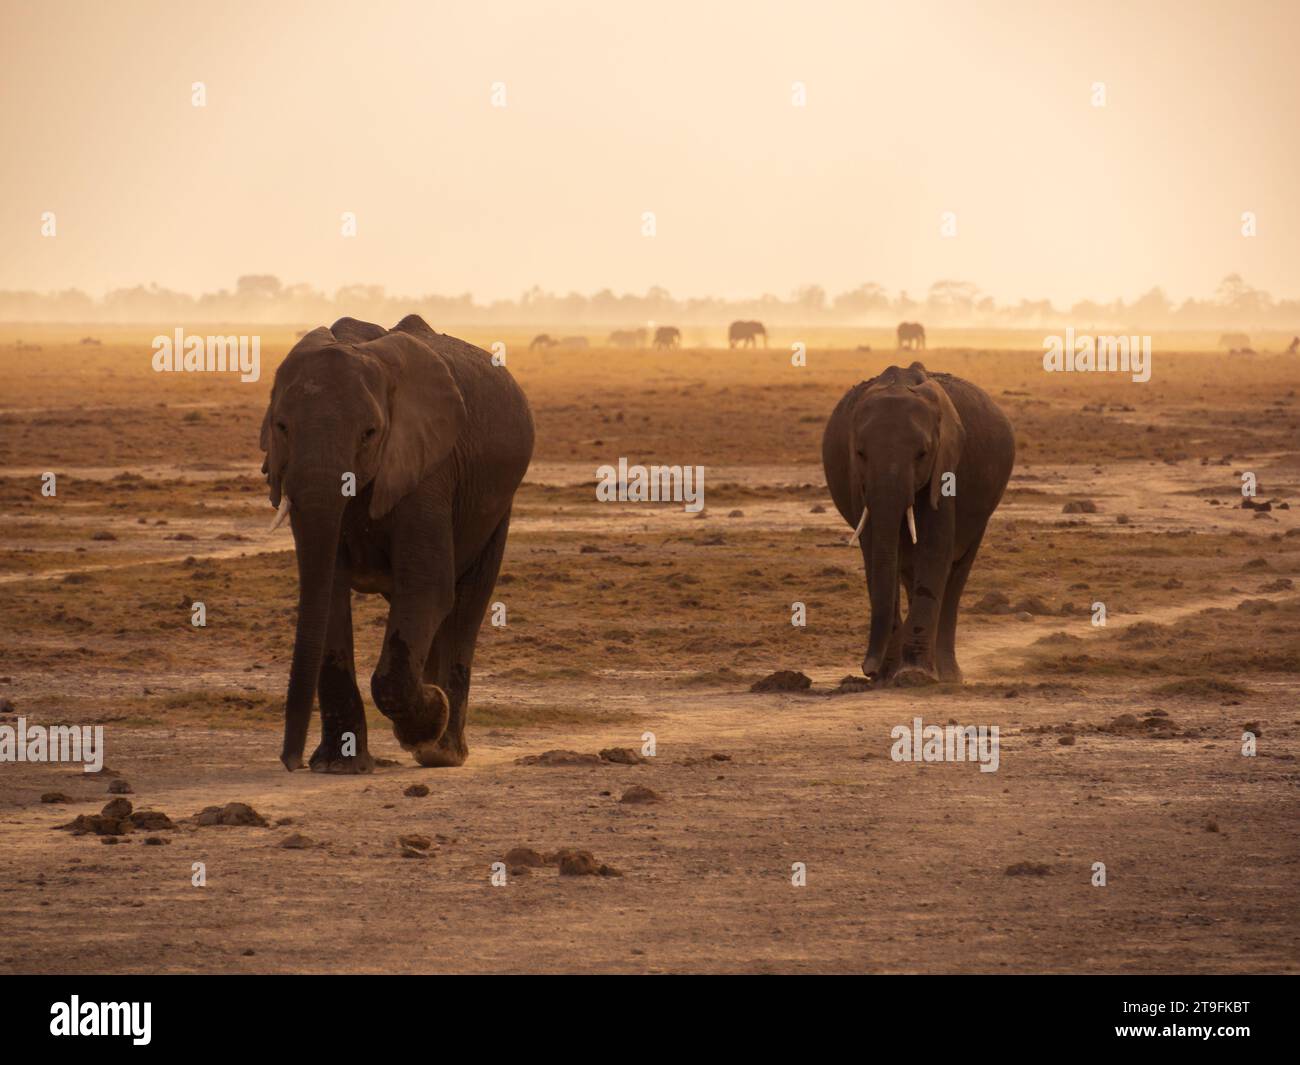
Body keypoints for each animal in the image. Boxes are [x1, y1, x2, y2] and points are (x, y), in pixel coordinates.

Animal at [259, 314, 534, 772]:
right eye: (281, 427)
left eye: (369, 434)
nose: (290, 761)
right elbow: (329, 592)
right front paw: (338, 766)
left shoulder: (428, 471)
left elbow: (426, 587)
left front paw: (427, 722)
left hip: (496, 506)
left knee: (466, 604)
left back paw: (441, 750)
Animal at [821, 362, 1013, 685]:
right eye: (860, 453)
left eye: (922, 454)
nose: (868, 669)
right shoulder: (858, 481)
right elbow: (875, 552)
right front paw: (889, 675)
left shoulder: (946, 469)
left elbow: (935, 547)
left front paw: (914, 675)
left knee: (955, 576)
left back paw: (947, 675)